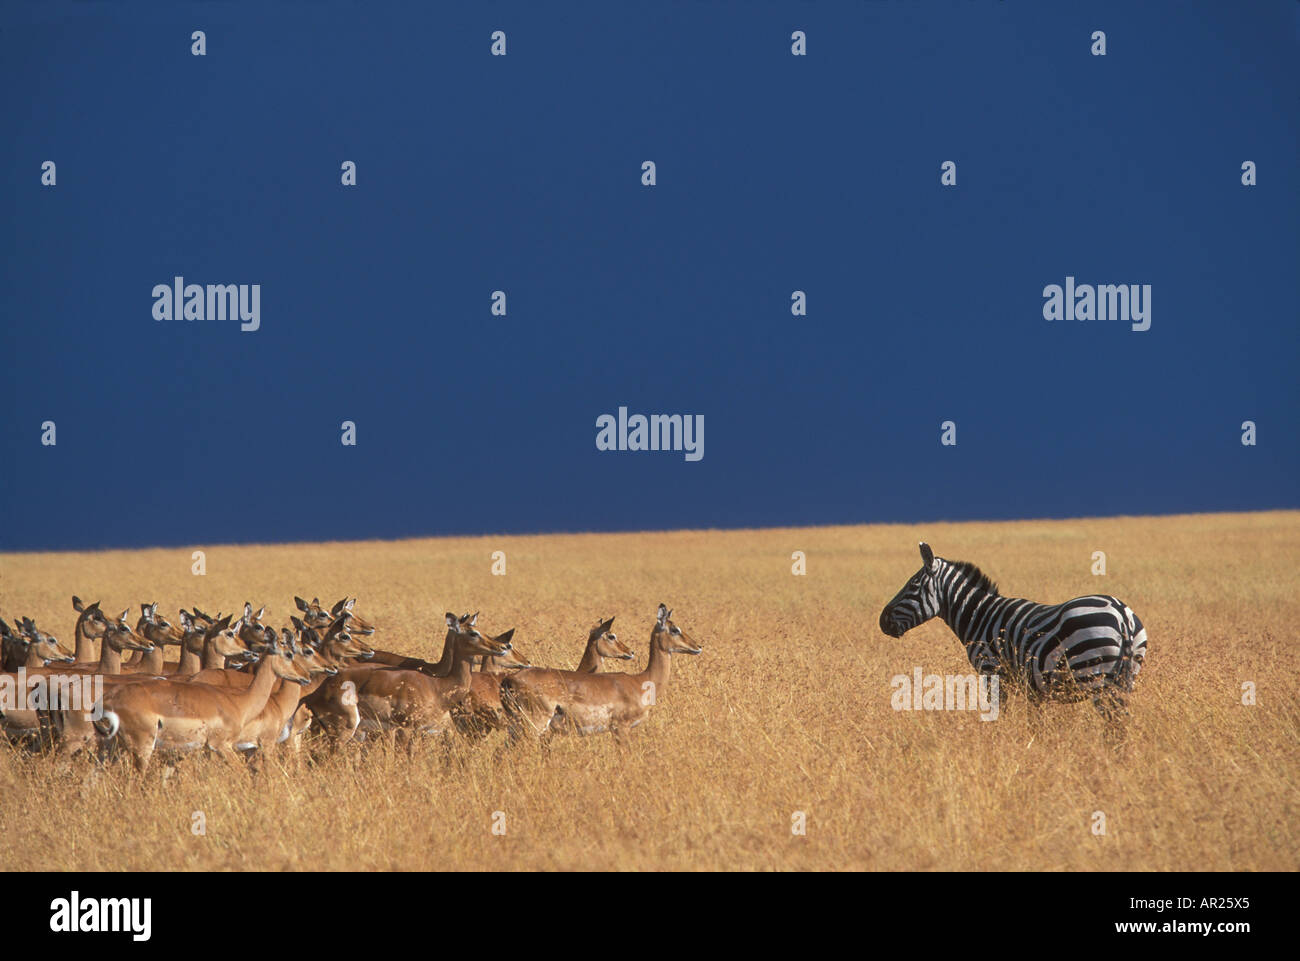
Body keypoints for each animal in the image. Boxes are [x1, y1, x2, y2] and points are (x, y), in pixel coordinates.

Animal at [94, 634, 313, 773]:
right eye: (289, 653)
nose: (306, 677)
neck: (240, 702)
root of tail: (108, 700)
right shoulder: (223, 746)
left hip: (111, 748)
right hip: (142, 748)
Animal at [501, 604, 700, 742]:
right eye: (675, 629)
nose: (698, 647)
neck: (641, 682)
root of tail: (509, 679)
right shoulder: (621, 729)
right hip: (534, 725)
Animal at [878, 543, 1147, 718]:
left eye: (913, 585)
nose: (882, 621)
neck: (979, 615)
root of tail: (1121, 613)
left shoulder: (992, 671)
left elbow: (1000, 713)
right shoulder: (1032, 687)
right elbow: (1036, 721)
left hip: (1094, 674)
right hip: (1127, 676)